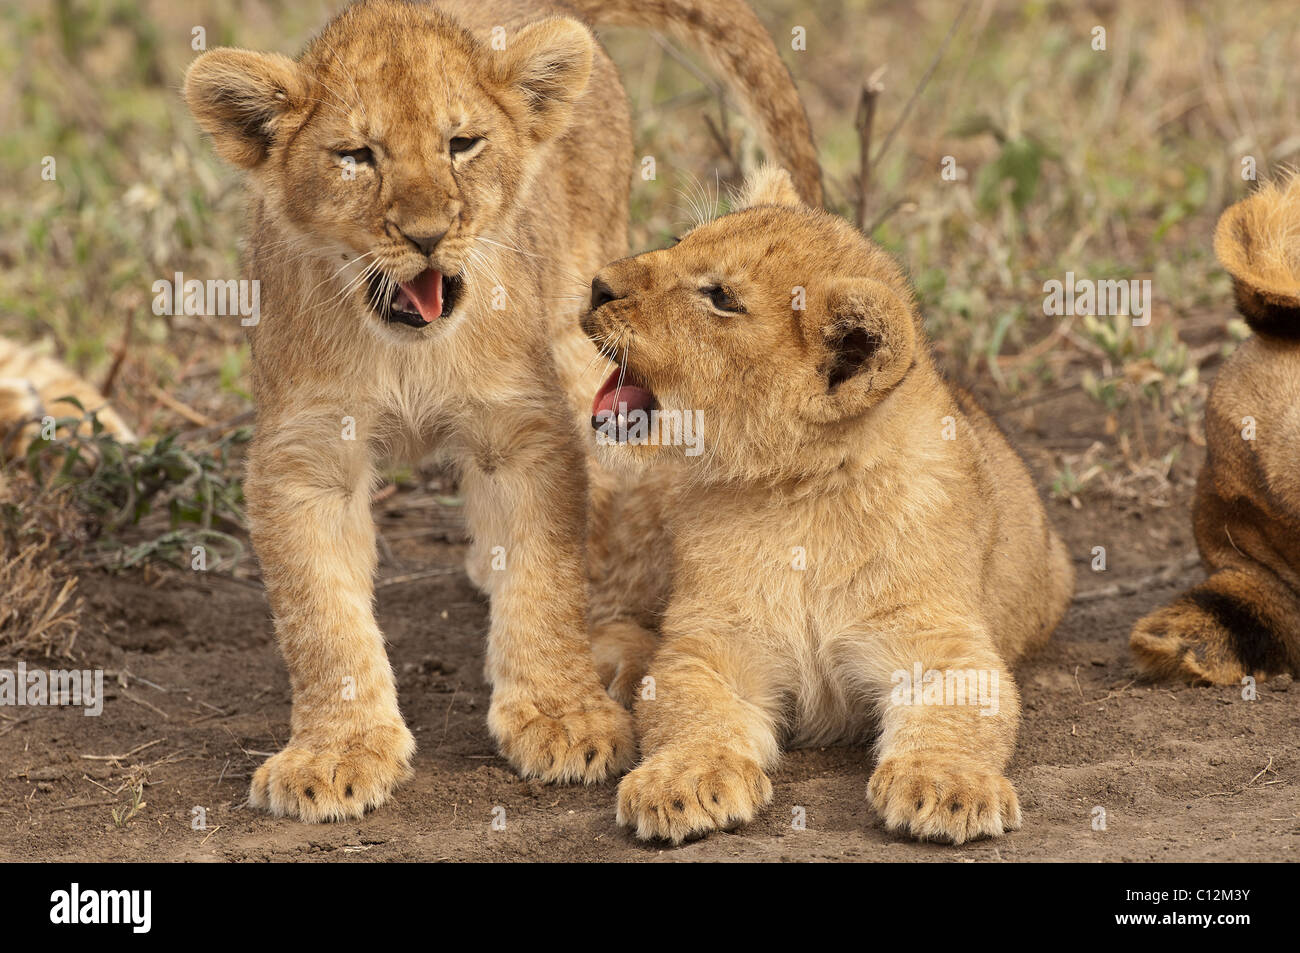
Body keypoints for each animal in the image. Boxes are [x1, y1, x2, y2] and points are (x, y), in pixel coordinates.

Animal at [182, 0, 820, 821]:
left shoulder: (524, 427)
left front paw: (563, 717)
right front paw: (336, 752)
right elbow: (321, 616)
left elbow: (544, 577)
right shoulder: (306, 452)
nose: (427, 235)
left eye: (463, 144)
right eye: (356, 156)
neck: (408, 349)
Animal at [578, 166, 1074, 844]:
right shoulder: (714, 644)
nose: (597, 285)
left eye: (720, 297)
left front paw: (947, 785)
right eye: (680, 241)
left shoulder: (942, 640)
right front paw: (684, 780)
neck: (802, 494)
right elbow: (689, 708)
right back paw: (618, 662)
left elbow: (960, 713)